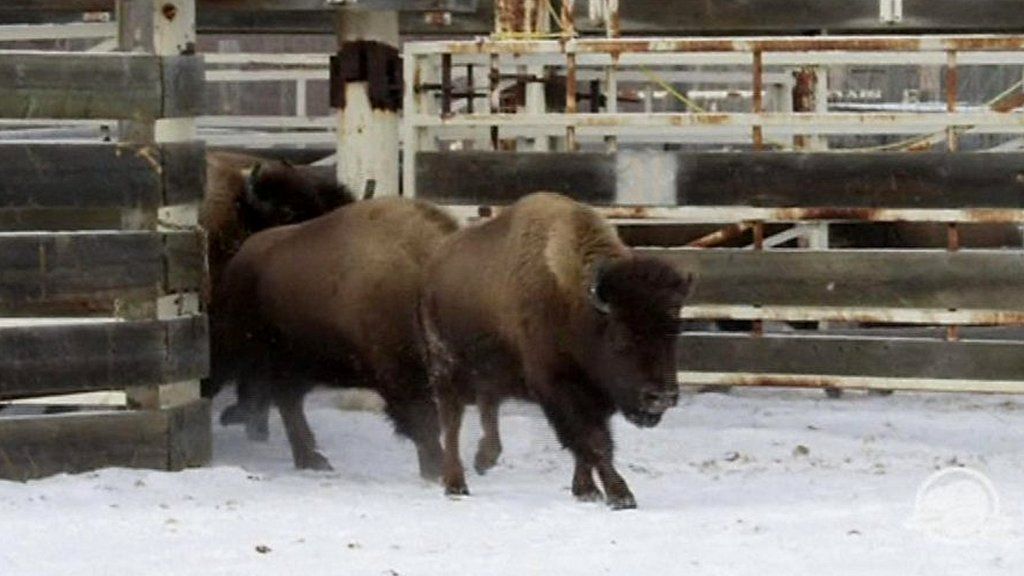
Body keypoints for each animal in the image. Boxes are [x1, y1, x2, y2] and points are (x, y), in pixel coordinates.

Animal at [215, 197, 459, 475]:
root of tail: (240, 258)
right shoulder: (403, 375)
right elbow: (424, 423)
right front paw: (436, 470)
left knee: (287, 402)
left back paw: (310, 458)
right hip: (240, 348)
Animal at [419, 192, 691, 509]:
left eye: (674, 333)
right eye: (621, 336)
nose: (661, 397)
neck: (576, 302)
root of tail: (435, 265)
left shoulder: (593, 394)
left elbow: (588, 443)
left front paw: (586, 490)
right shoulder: (558, 388)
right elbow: (593, 441)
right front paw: (620, 495)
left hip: (489, 371)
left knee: (489, 406)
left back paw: (484, 459)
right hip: (445, 367)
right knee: (452, 422)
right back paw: (455, 484)